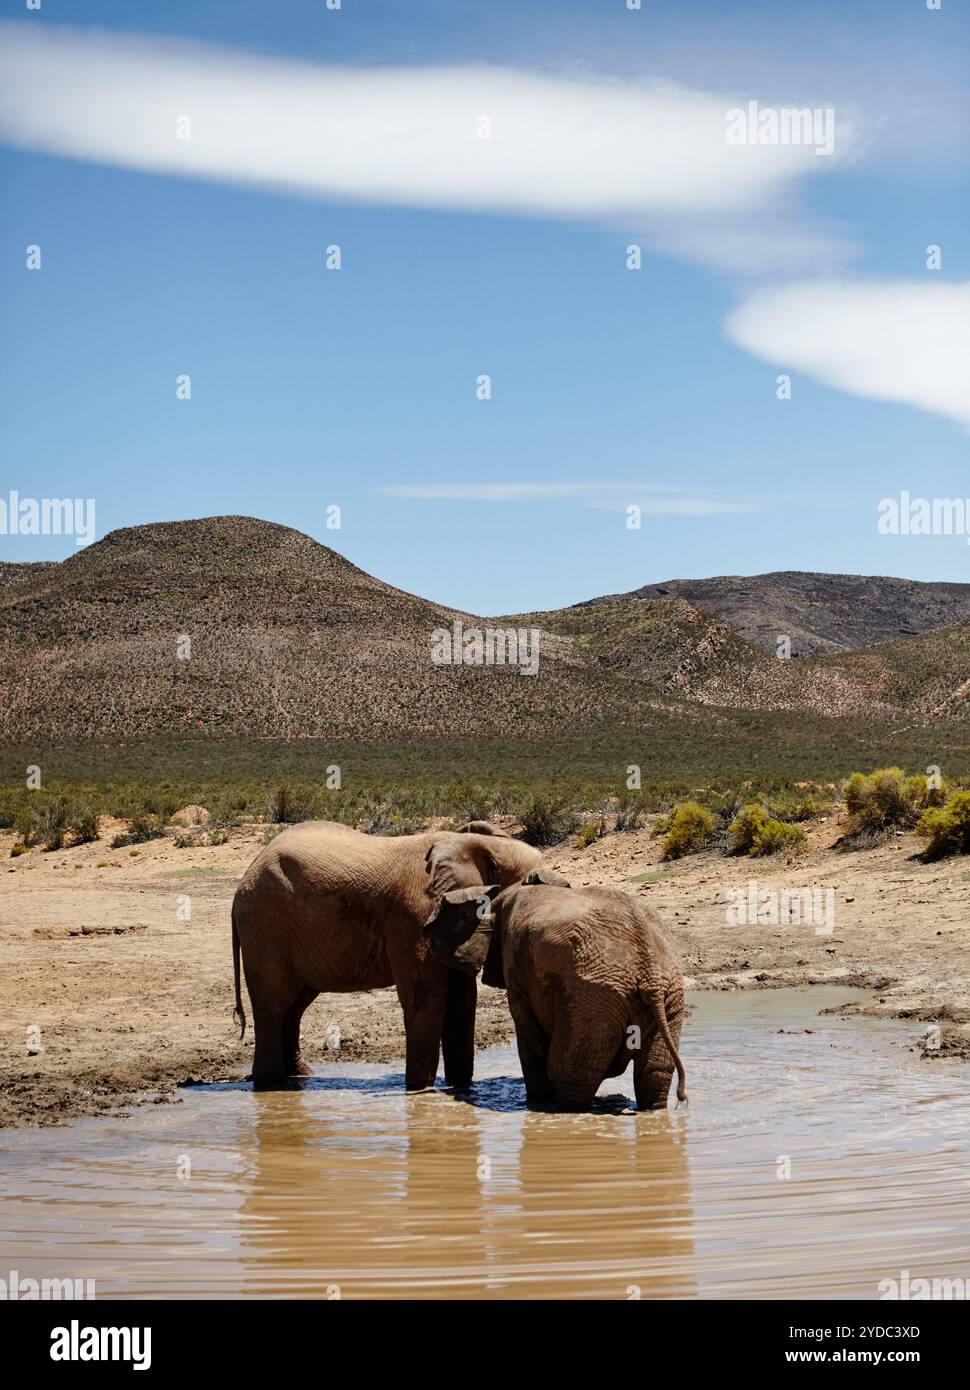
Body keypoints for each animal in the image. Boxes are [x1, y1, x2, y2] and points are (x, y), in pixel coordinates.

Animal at [231, 820, 541, 1090]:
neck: (481, 844)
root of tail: (244, 879)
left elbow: (462, 1001)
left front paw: (461, 1089)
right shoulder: (416, 918)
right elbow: (425, 997)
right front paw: (420, 1090)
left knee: (295, 1006)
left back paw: (301, 1078)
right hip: (266, 925)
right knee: (273, 1005)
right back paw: (271, 1084)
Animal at [423, 869, 687, 1111]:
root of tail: (648, 965)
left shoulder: (515, 966)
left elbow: (527, 1031)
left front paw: (537, 1102)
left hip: (593, 998)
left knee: (571, 1072)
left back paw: (564, 1109)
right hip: (667, 994)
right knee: (654, 1071)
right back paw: (653, 1109)